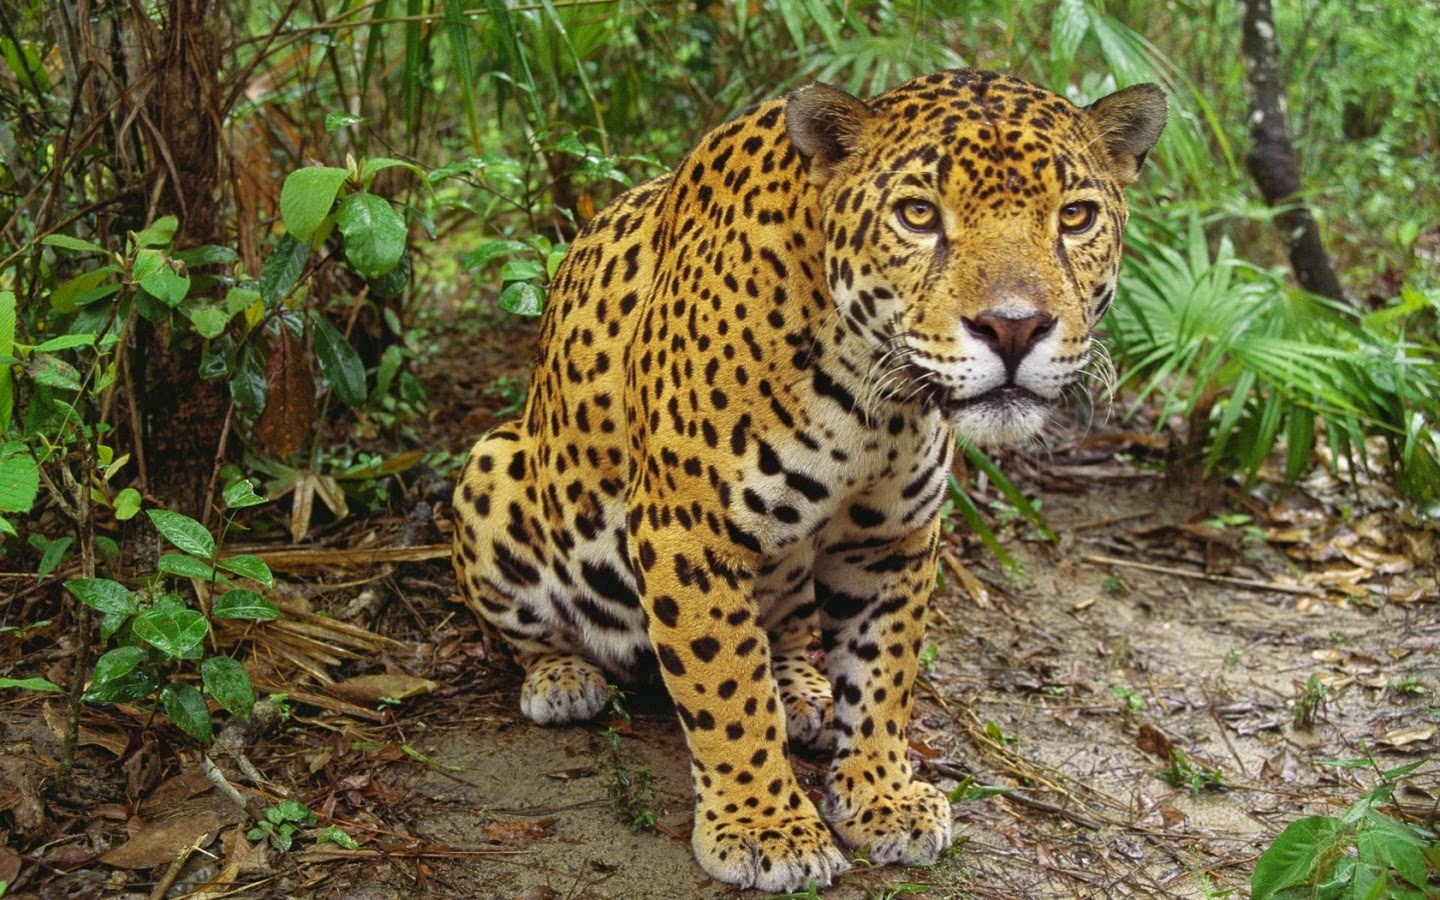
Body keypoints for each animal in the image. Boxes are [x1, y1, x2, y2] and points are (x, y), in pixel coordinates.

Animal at [452, 69, 1166, 892]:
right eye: (918, 215)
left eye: (1075, 217)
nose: (1013, 328)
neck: (876, 400)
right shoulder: (687, 530)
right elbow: (726, 686)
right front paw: (765, 827)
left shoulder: (893, 537)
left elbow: (886, 674)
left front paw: (882, 796)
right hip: (492, 466)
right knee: (526, 630)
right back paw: (563, 678)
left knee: (791, 632)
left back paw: (805, 693)